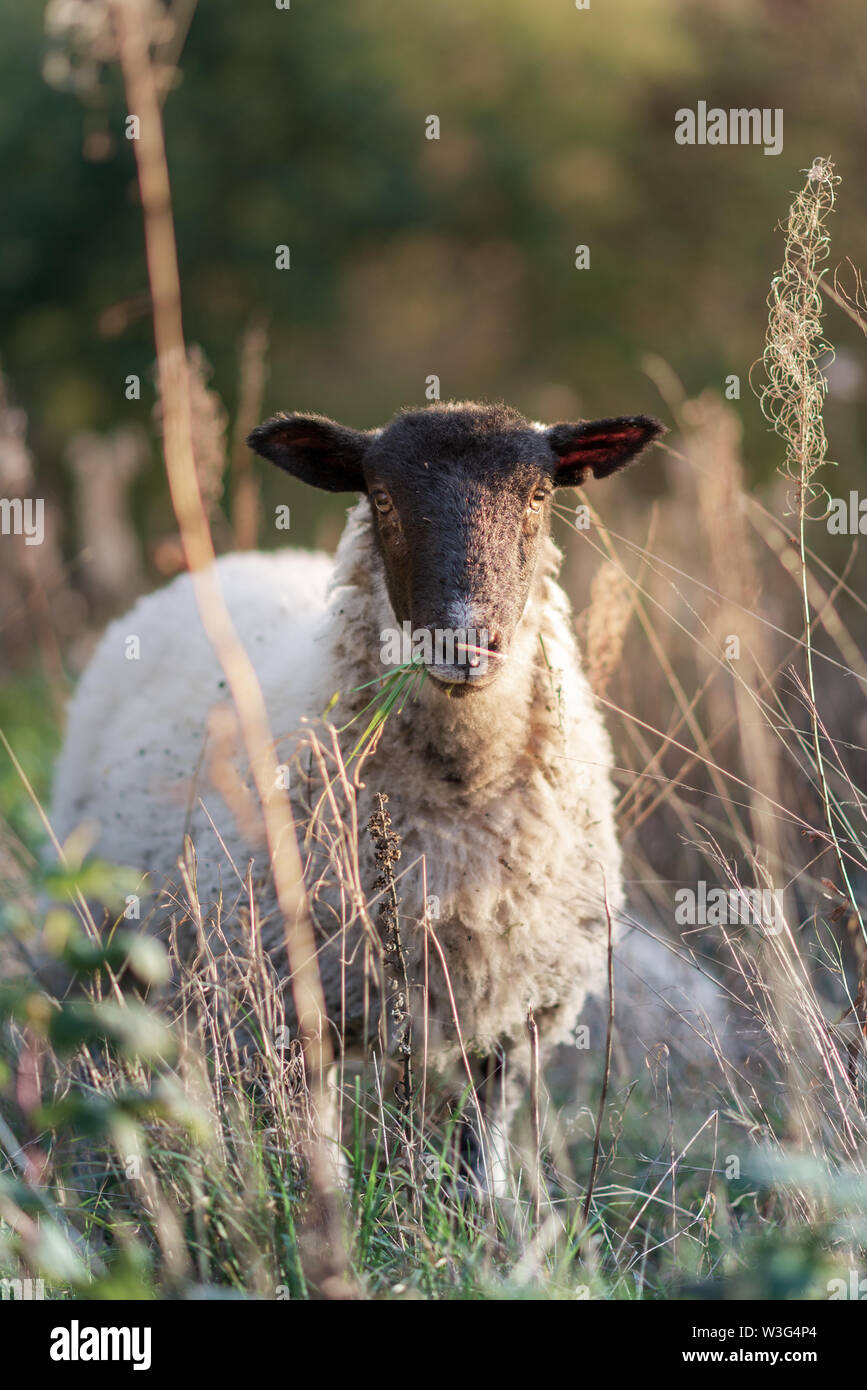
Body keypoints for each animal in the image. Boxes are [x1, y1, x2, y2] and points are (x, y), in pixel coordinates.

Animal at [52, 400, 665, 1177]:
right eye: (381, 499)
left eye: (538, 495)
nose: (464, 643)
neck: (459, 802)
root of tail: (244, 561)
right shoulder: (289, 1010)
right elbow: (314, 1159)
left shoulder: (513, 1021)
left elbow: (478, 1161)